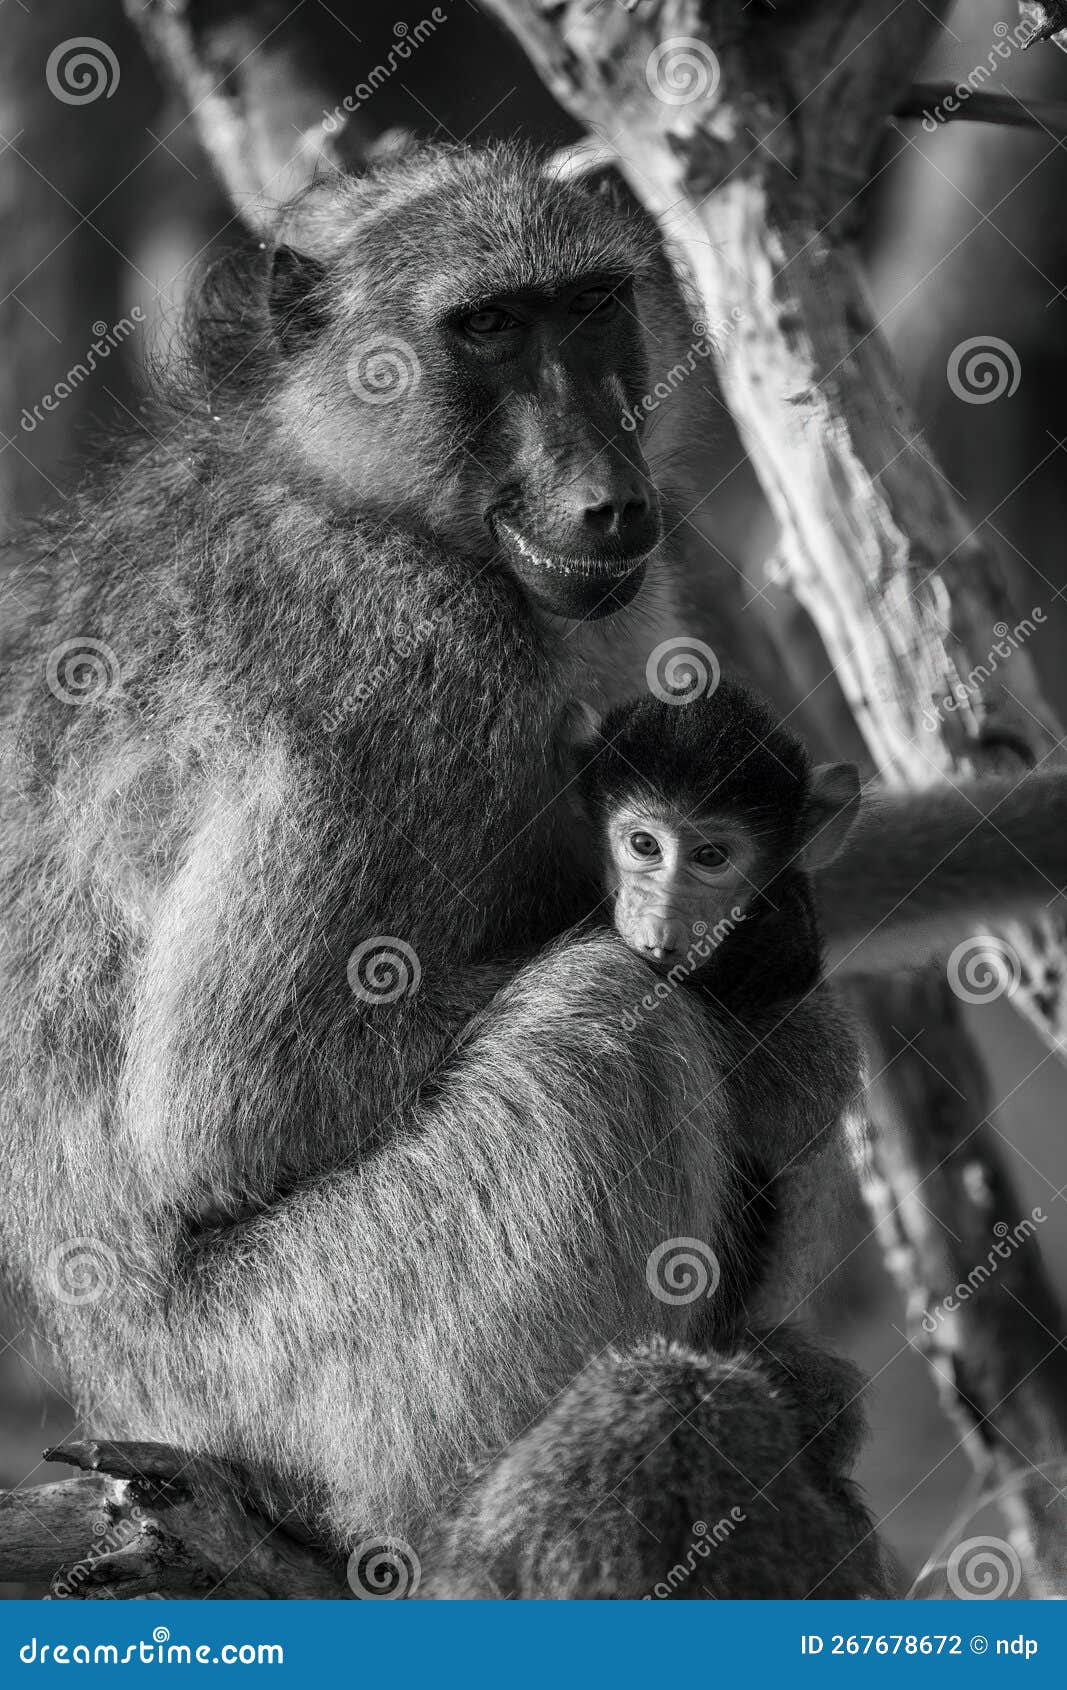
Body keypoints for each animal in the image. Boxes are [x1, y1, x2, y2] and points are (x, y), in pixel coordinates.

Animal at [1, 140, 1064, 1596]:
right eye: (489, 327)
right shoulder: (408, 661)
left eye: (589, 307)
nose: (607, 496)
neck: (346, 483)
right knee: (609, 1023)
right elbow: (233, 1114)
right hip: (300, 1388)